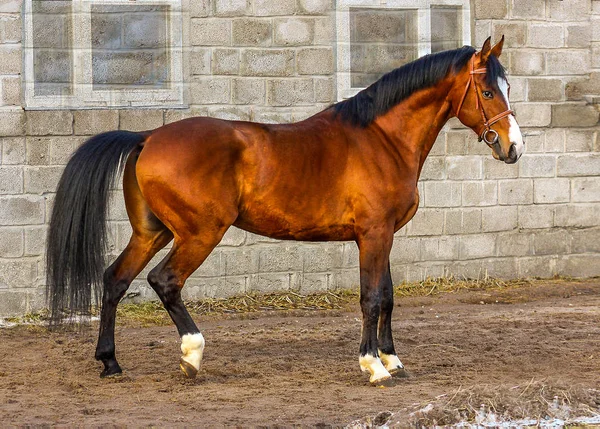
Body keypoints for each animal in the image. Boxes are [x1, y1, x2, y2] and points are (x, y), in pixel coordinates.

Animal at [47, 37, 524, 384]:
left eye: (507, 88)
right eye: (486, 91)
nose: (513, 147)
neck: (381, 139)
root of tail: (146, 137)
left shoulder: (383, 234)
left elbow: (387, 296)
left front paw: (392, 359)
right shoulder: (374, 234)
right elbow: (371, 298)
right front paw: (372, 366)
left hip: (153, 232)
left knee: (116, 280)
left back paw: (110, 362)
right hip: (200, 233)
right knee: (165, 281)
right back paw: (192, 356)